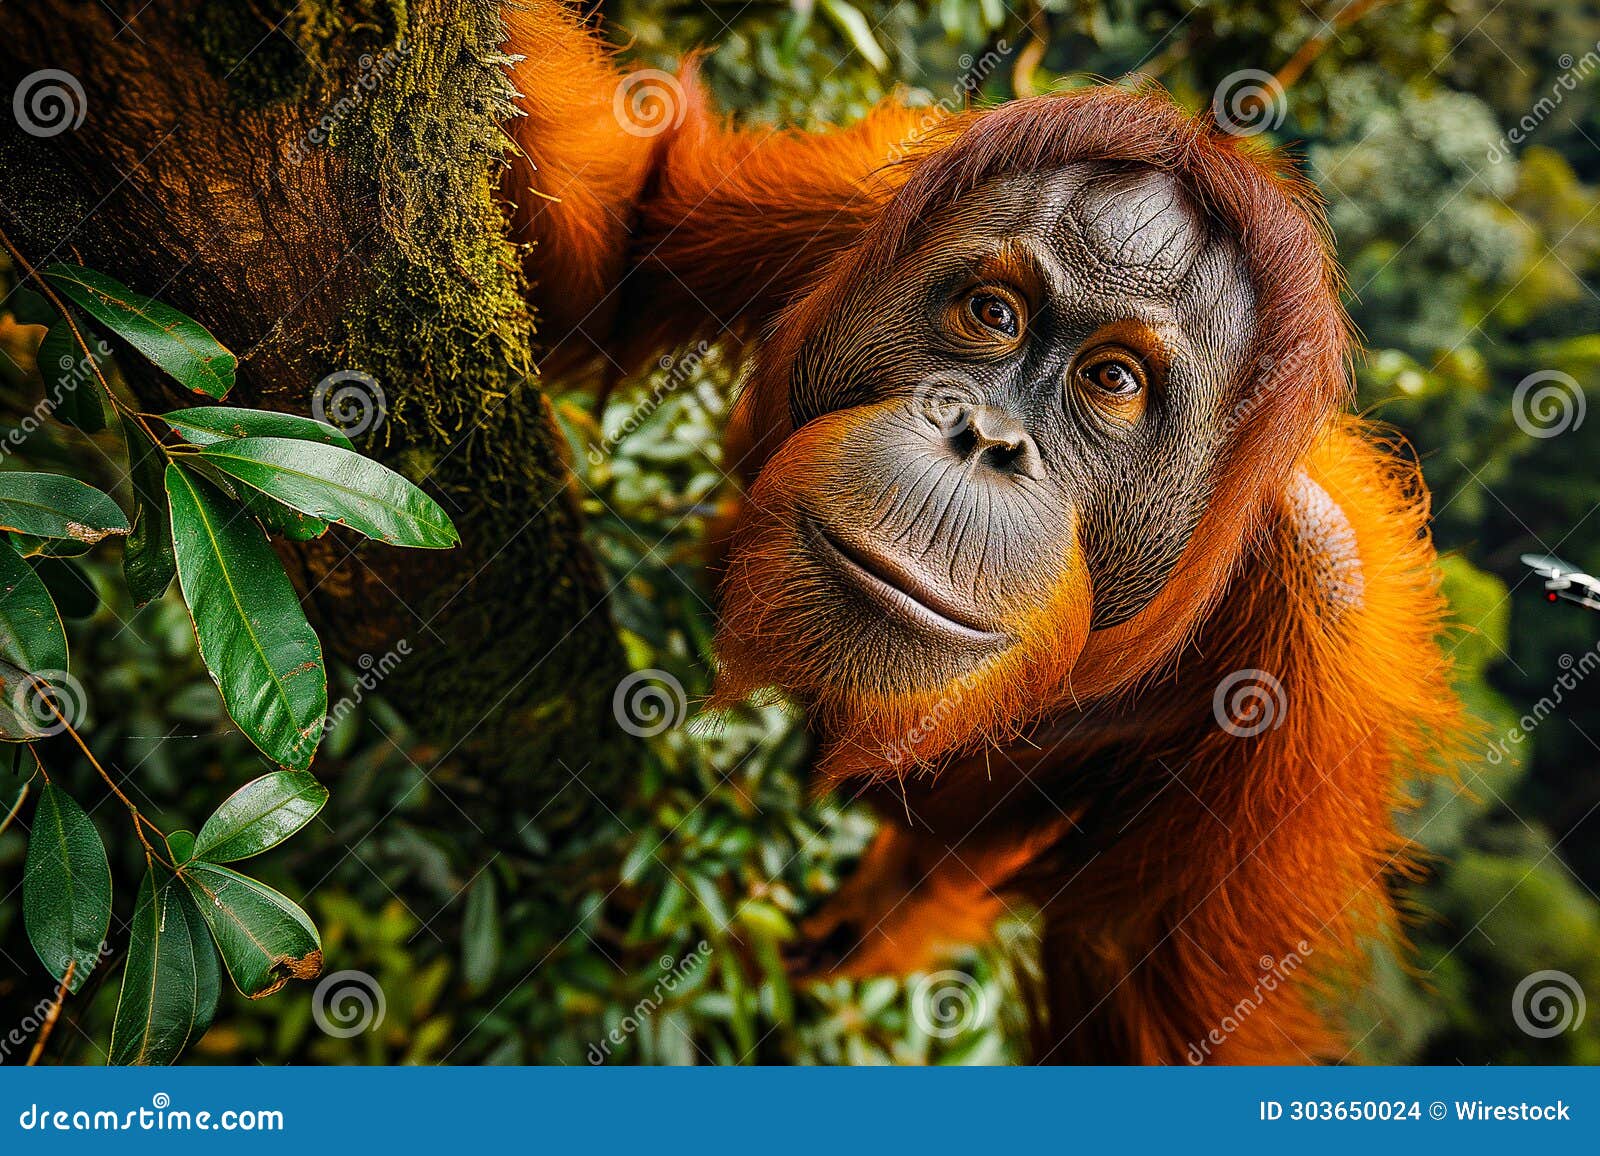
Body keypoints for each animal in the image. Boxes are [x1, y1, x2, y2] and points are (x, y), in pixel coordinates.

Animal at [502, 2, 1463, 1064]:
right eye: (994, 313)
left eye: (1113, 379)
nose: (986, 437)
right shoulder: (853, 211)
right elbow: (619, 250)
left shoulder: (1322, 632)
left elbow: (1143, 1003)